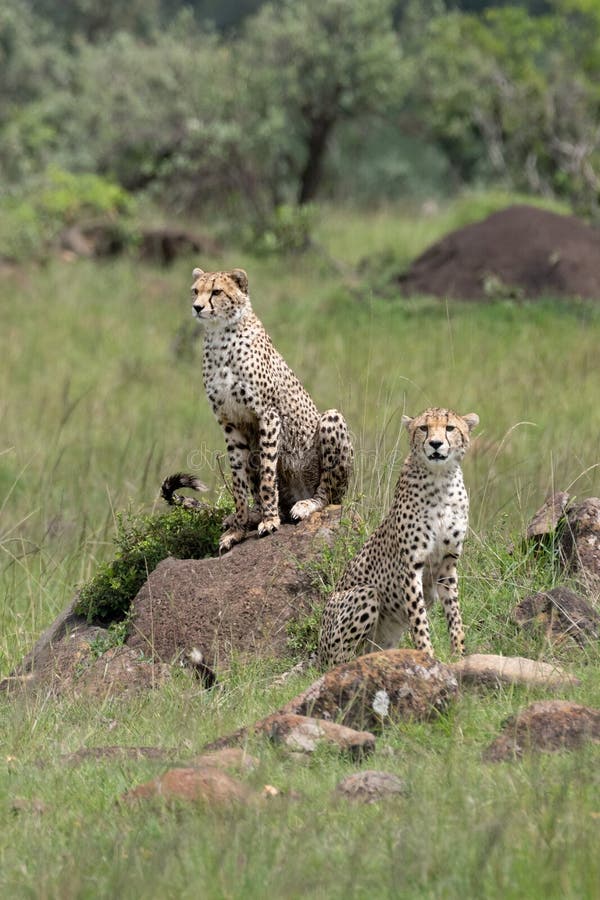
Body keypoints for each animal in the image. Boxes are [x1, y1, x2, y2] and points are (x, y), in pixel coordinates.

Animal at [164, 267, 353, 553]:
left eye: (216, 292)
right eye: (195, 291)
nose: (197, 307)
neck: (220, 337)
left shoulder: (267, 415)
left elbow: (266, 473)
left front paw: (270, 521)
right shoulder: (230, 423)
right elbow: (239, 481)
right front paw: (238, 529)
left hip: (332, 423)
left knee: (327, 494)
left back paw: (303, 506)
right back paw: (249, 516)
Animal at [317, 407, 479, 667]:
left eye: (449, 428)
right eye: (423, 428)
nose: (435, 444)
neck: (440, 479)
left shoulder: (447, 564)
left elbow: (455, 614)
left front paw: (459, 654)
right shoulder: (410, 565)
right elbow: (418, 618)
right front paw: (427, 655)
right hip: (365, 594)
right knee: (338, 661)